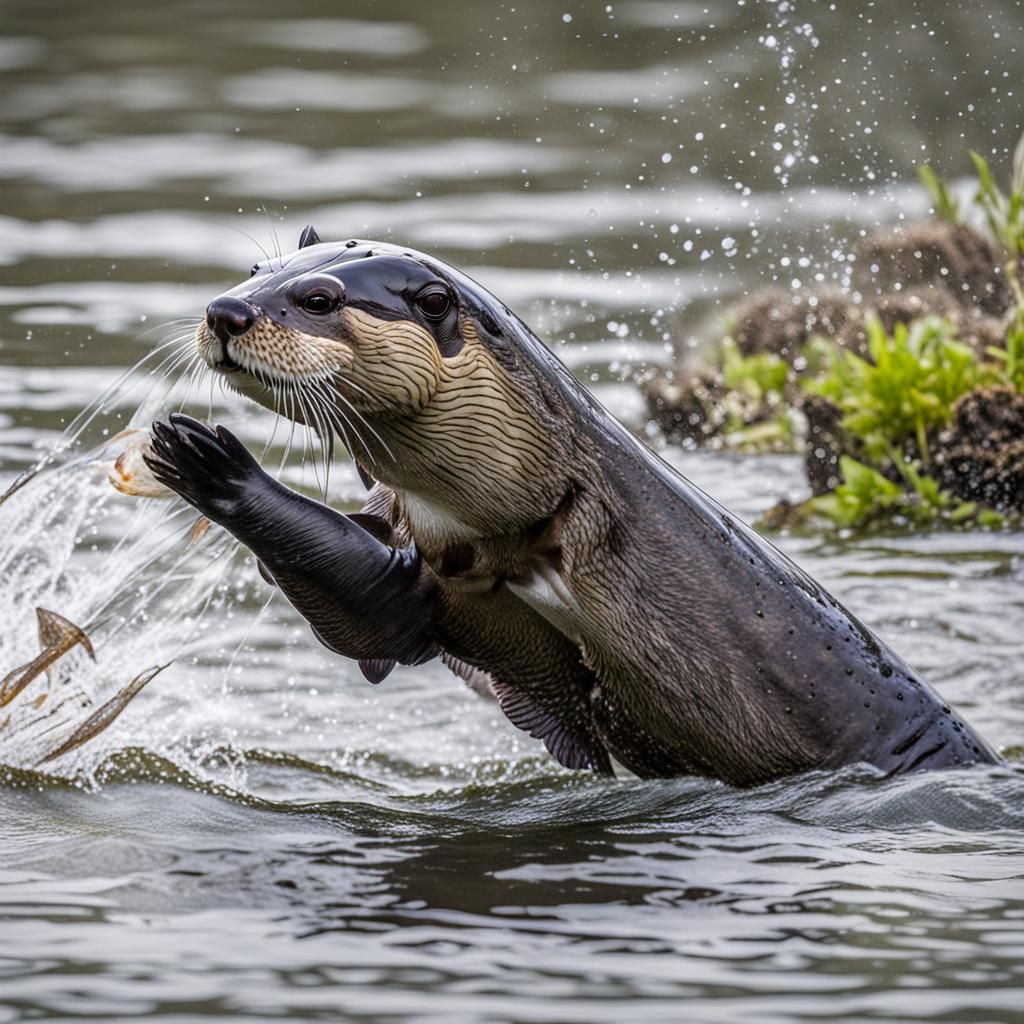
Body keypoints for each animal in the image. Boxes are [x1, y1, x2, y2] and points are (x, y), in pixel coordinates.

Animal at [144, 227, 1001, 785]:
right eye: (257, 267)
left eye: (317, 297)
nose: (227, 312)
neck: (542, 489)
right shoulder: (450, 569)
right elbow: (379, 611)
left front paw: (219, 465)